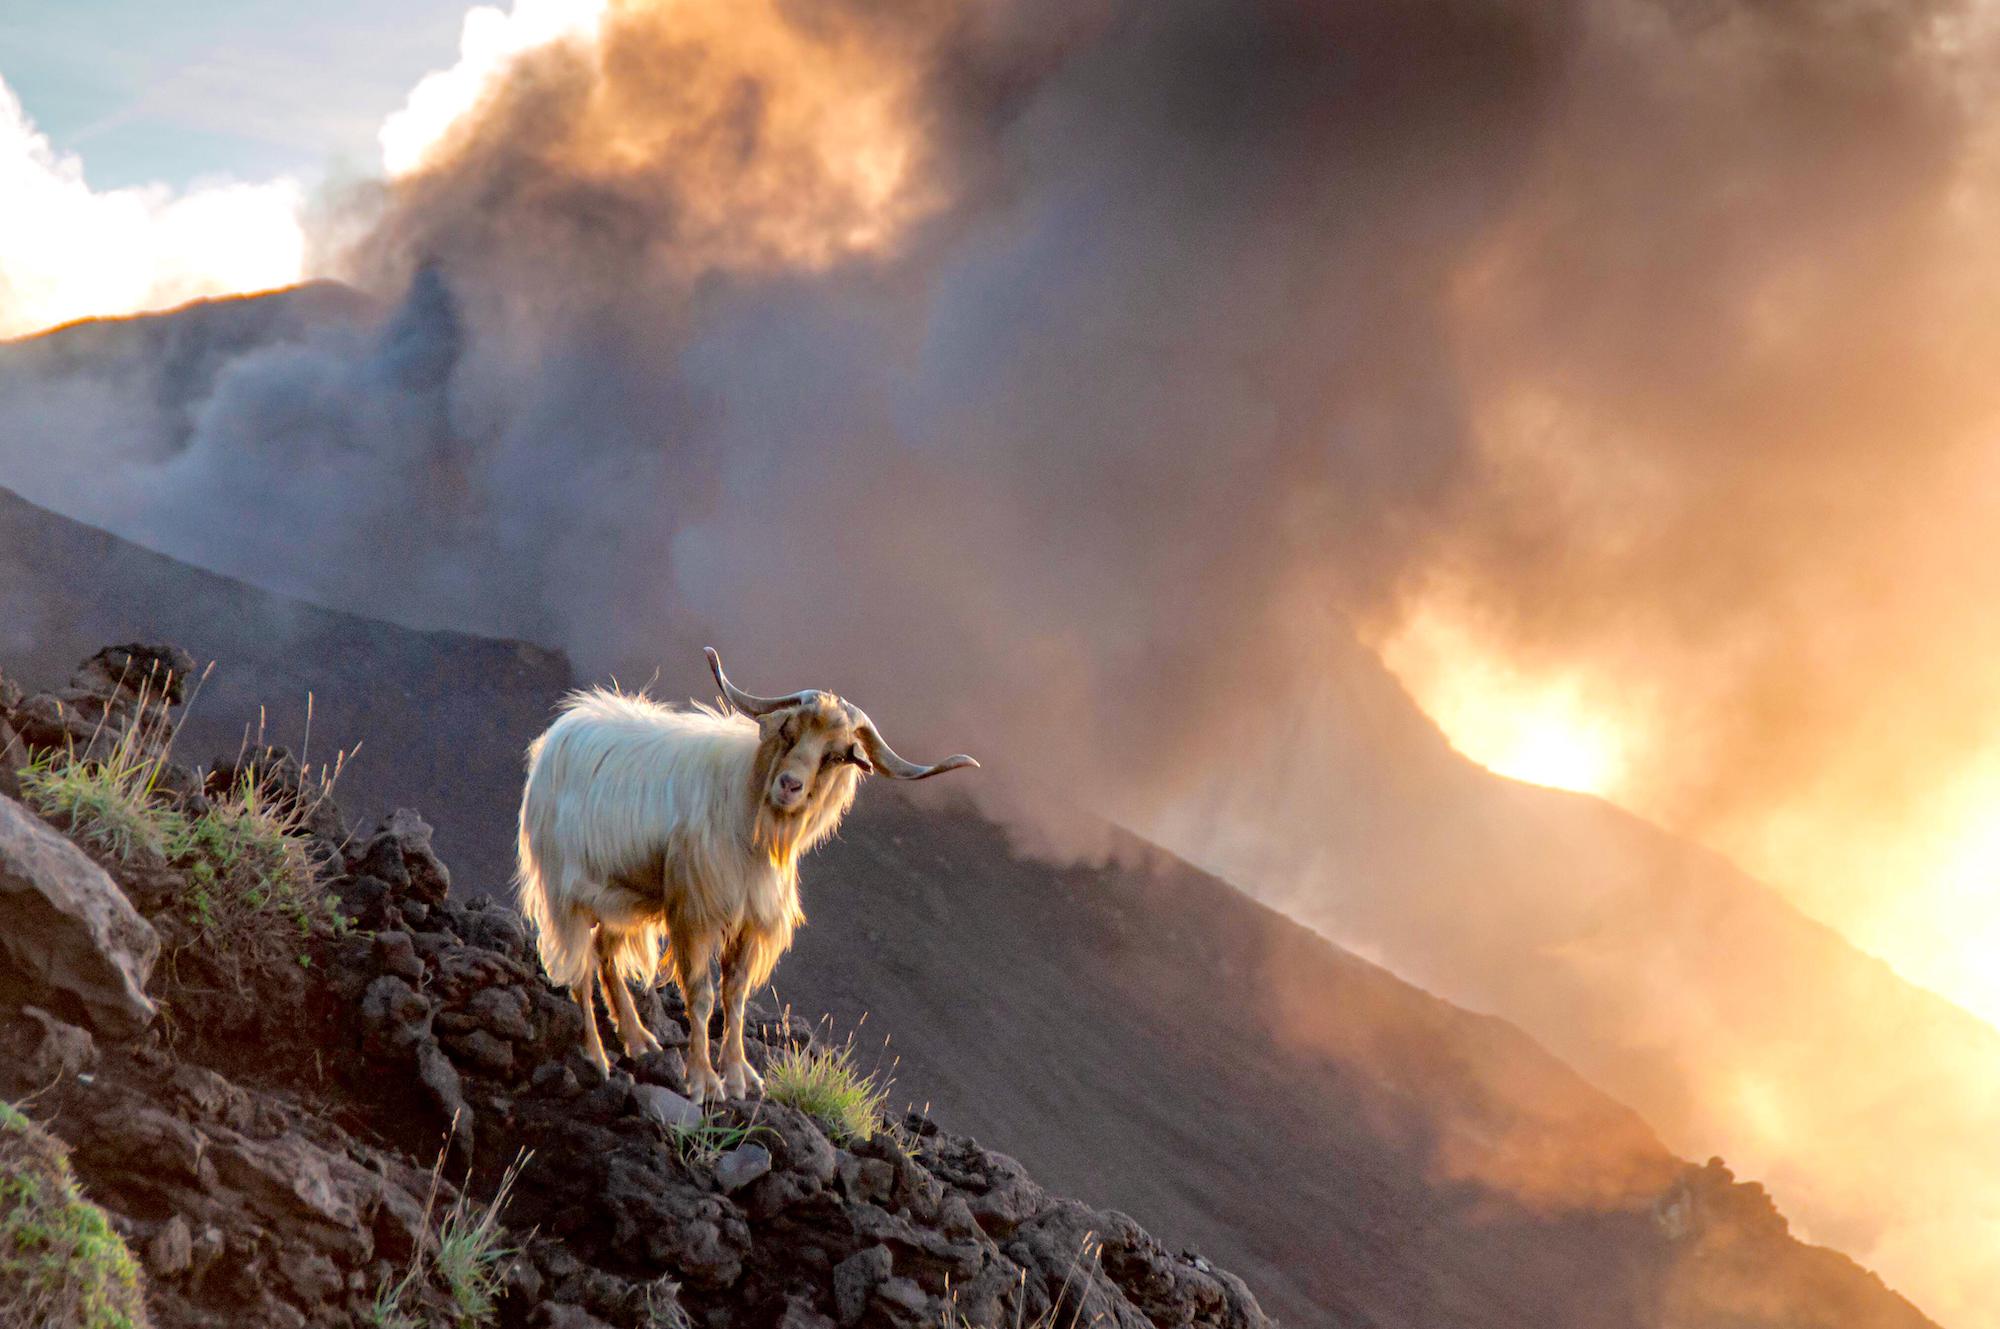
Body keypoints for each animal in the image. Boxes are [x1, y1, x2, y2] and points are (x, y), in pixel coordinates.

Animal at [515, 647, 978, 1101]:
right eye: (789, 732)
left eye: (836, 754)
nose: (789, 785)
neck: (748, 813)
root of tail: (561, 730)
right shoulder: (695, 912)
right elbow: (701, 994)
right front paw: (704, 1081)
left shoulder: (749, 920)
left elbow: (734, 994)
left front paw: (739, 1077)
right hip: (564, 891)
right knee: (579, 967)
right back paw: (597, 1058)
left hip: (623, 895)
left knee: (604, 951)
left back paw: (639, 1040)